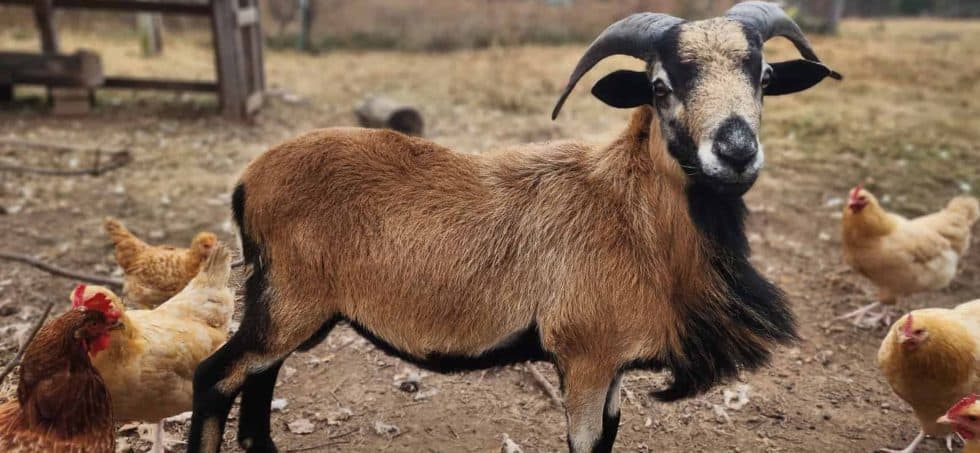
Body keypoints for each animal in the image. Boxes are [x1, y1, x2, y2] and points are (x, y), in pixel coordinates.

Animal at [187, 3, 840, 452]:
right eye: (660, 86)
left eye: (764, 78)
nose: (736, 150)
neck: (632, 215)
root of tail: (248, 181)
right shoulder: (584, 357)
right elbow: (586, 444)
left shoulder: (613, 365)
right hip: (289, 300)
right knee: (214, 377)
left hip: (292, 310)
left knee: (259, 385)